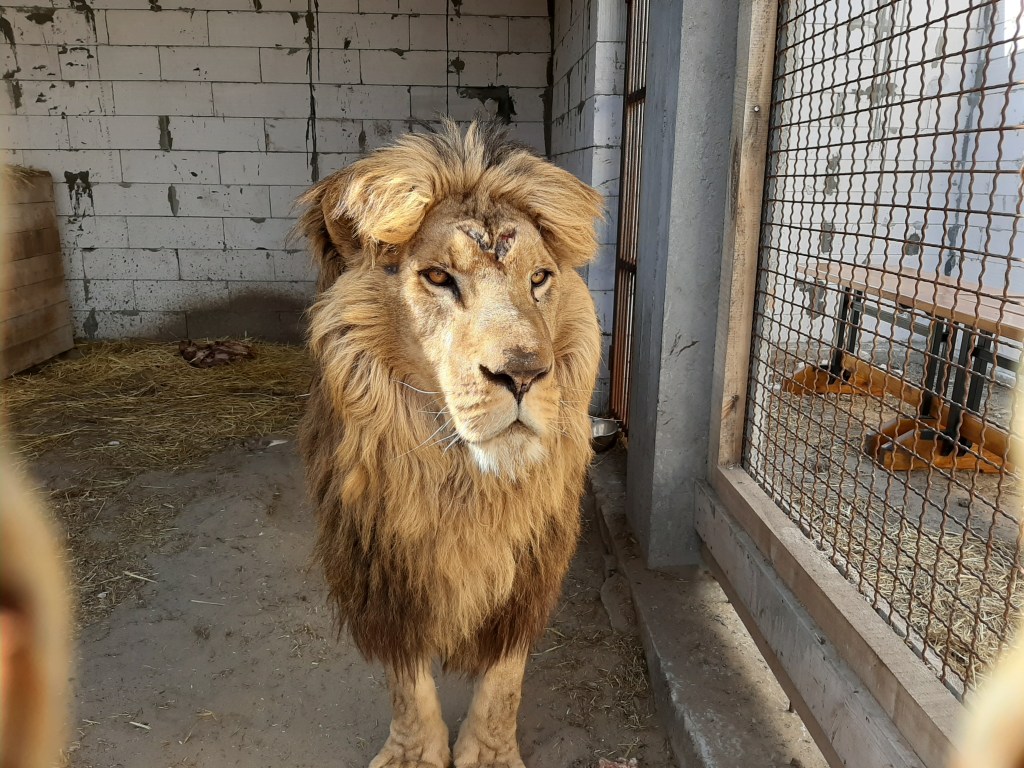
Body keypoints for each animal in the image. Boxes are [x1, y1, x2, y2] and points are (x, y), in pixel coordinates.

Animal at [296, 119, 603, 768]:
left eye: (539, 278)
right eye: (438, 277)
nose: (523, 375)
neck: (464, 483)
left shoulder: (531, 566)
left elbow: (505, 676)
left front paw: (488, 753)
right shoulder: (382, 565)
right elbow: (407, 682)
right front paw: (414, 754)